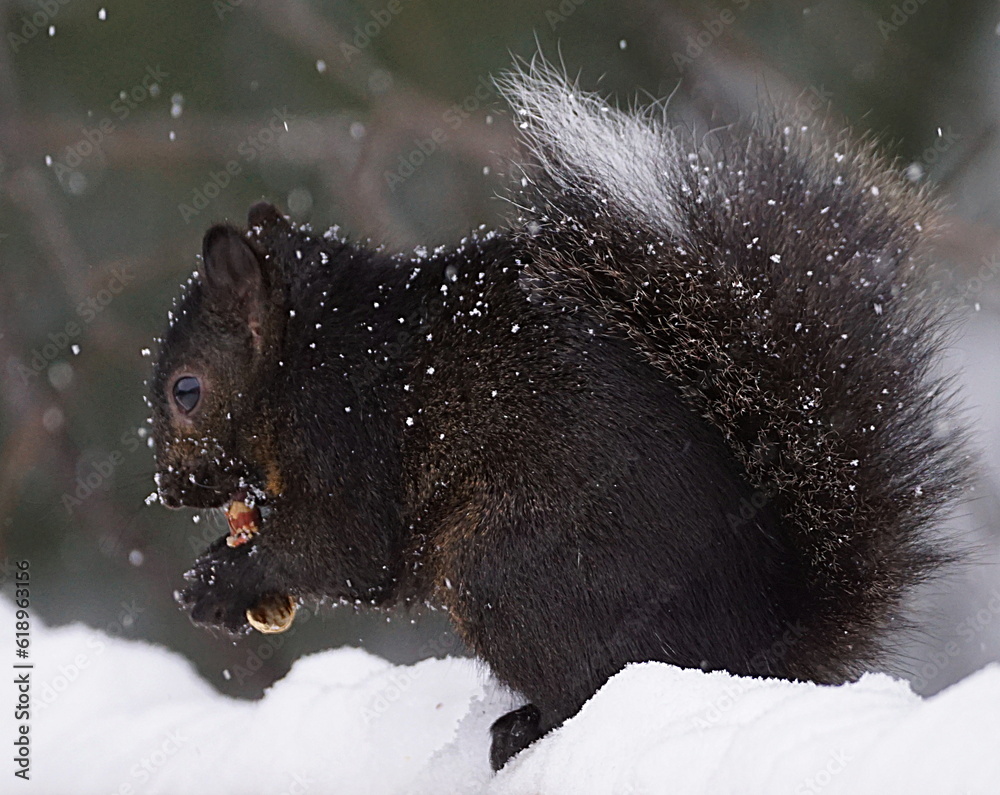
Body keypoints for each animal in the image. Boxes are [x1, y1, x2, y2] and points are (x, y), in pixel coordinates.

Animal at [149, 64, 969, 770]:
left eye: (186, 390)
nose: (168, 489)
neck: (305, 352)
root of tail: (764, 649)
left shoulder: (347, 437)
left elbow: (343, 550)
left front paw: (215, 582)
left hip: (507, 567)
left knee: (585, 685)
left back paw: (522, 727)